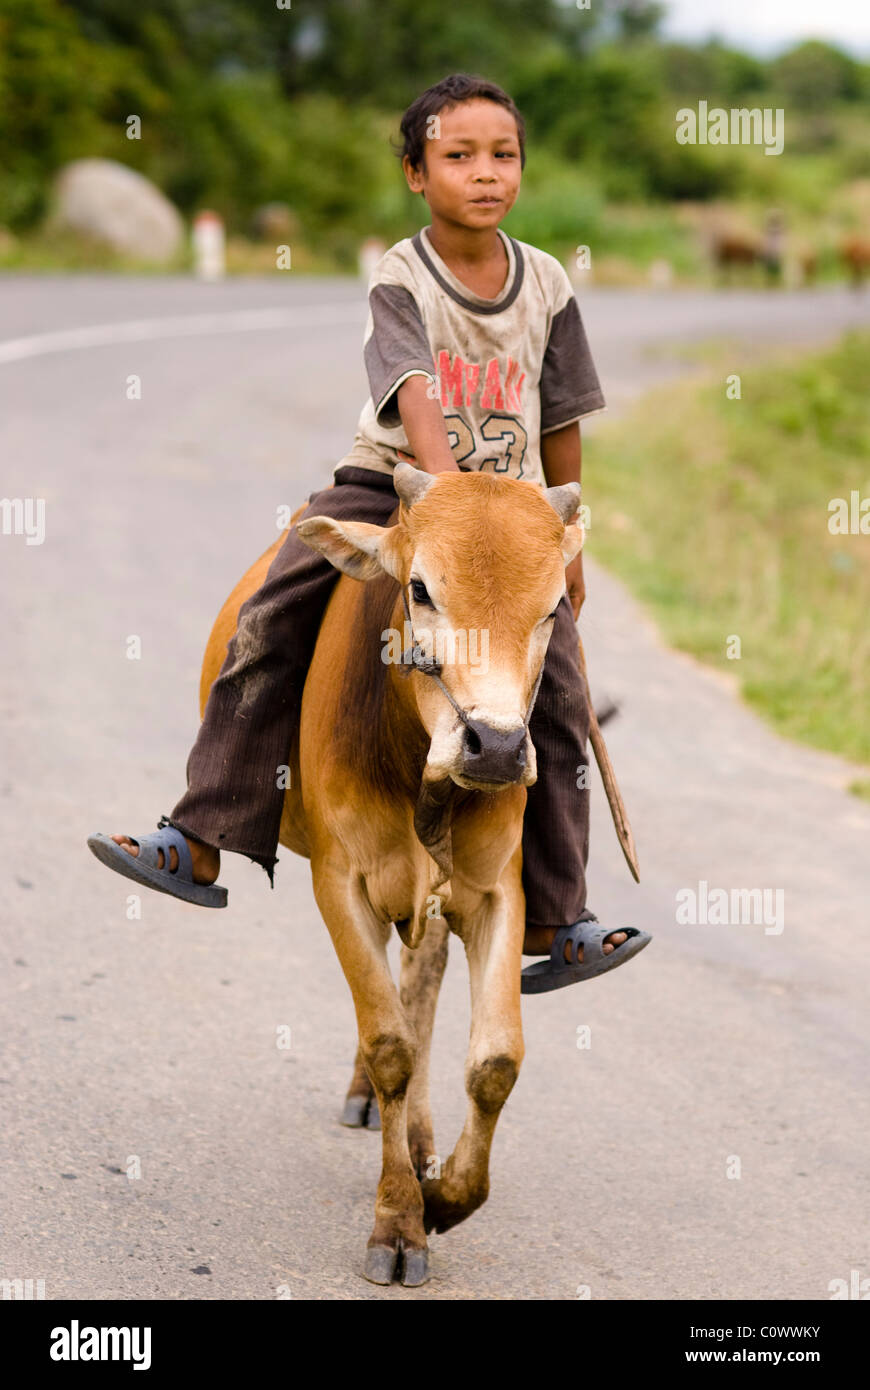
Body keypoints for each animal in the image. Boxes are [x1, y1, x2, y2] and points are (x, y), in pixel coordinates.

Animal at [200, 464, 584, 1286]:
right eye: (419, 589)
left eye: (553, 608)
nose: (496, 747)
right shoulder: (340, 883)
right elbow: (390, 1048)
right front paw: (400, 1223)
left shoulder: (497, 892)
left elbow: (495, 1060)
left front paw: (445, 1198)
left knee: (423, 985)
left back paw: (419, 1138)